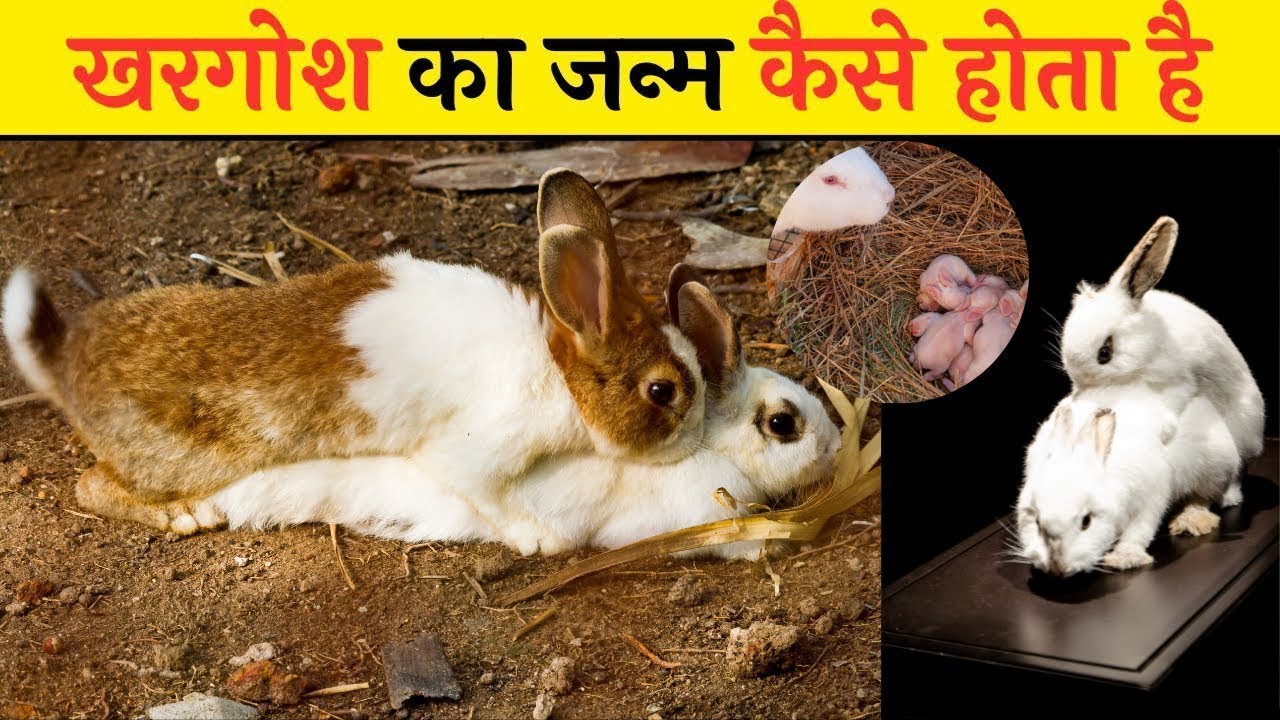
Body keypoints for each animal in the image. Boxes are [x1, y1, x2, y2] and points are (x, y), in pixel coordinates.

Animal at [2, 168, 710, 550]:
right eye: (663, 391)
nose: (700, 435)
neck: (561, 375)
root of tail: (65, 361)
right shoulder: (475, 452)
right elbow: (493, 497)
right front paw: (542, 538)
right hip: (170, 460)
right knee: (91, 484)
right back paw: (184, 516)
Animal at [1016, 387, 1241, 577]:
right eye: (1037, 522)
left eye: (1086, 521)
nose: (1057, 569)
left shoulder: (1152, 497)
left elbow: (1139, 531)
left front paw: (1123, 559)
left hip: (1214, 469)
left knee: (1203, 498)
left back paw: (1192, 521)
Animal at [1059, 216, 1264, 464]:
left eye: (1105, 353)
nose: (1081, 390)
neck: (1150, 345)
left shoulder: (1180, 380)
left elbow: (1172, 400)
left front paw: (1165, 431)